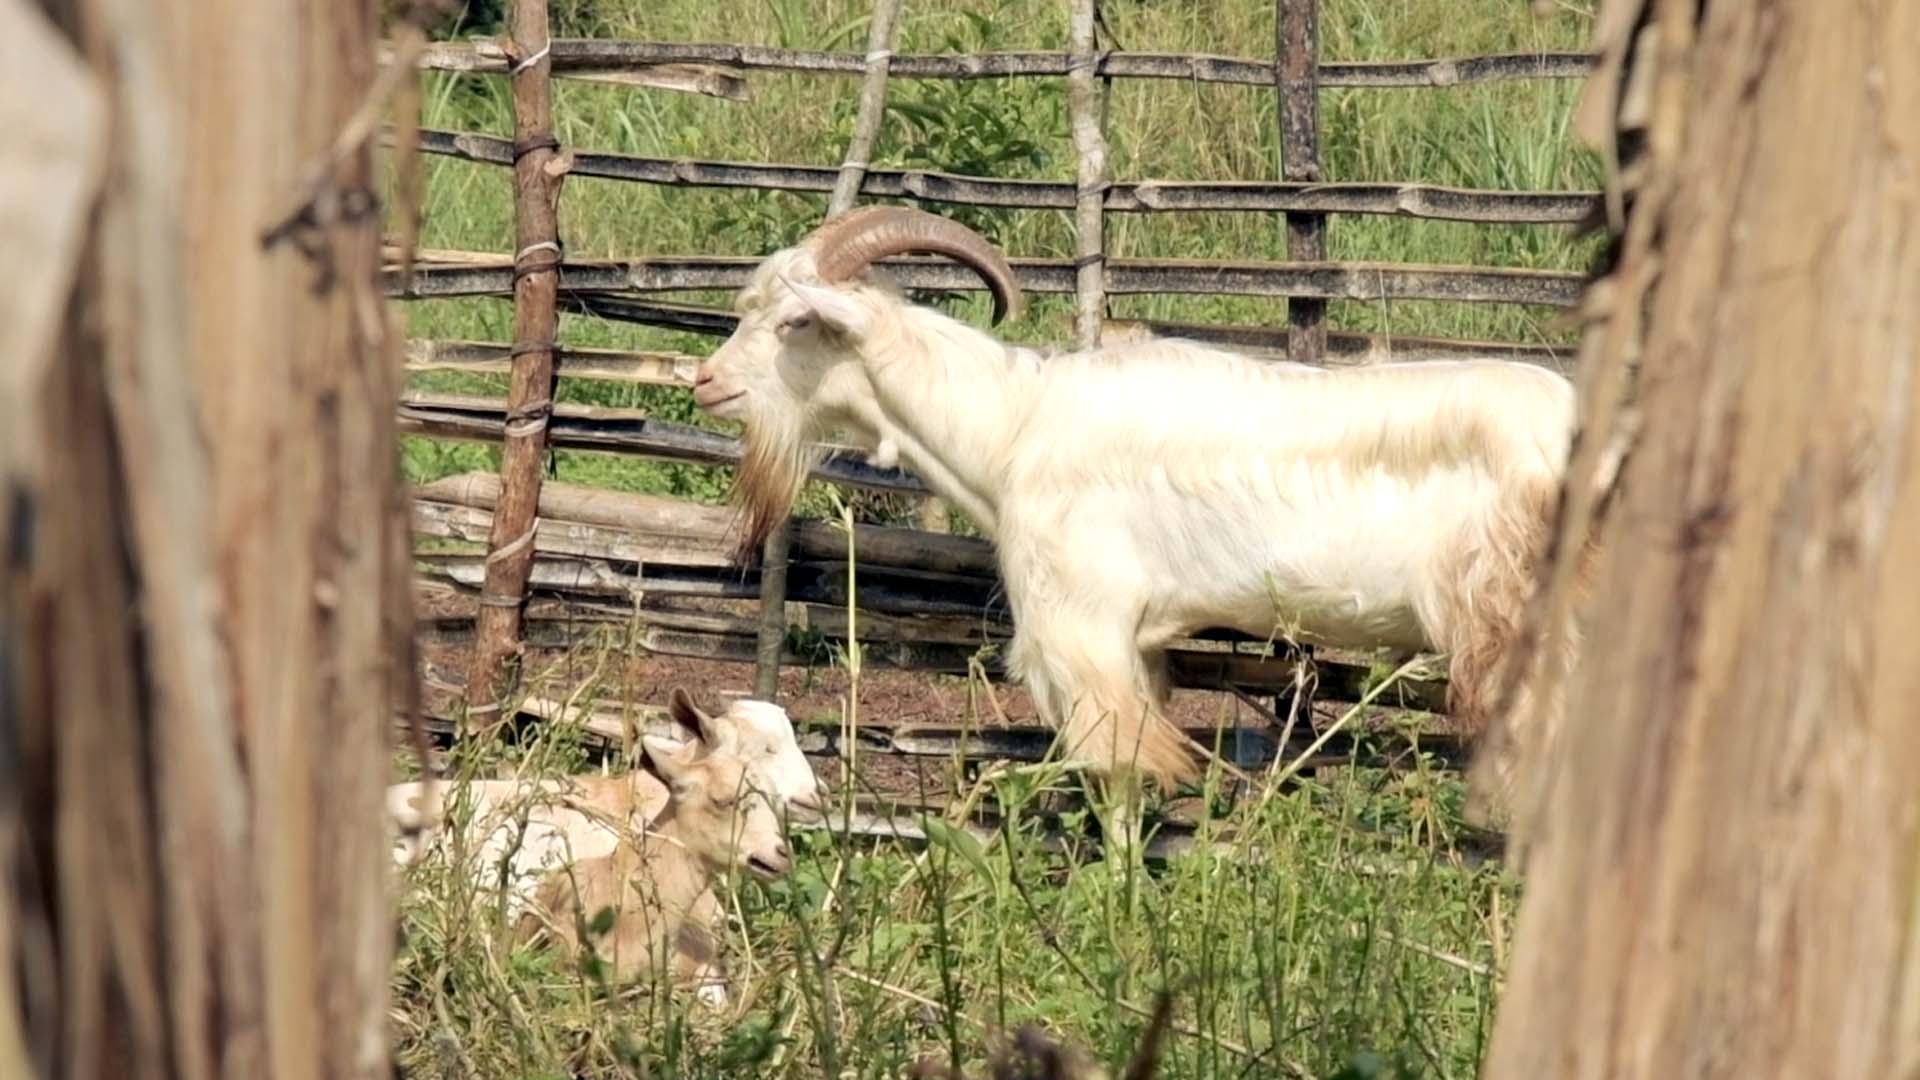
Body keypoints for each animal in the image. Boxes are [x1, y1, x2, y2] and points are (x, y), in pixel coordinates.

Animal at [691, 206, 1576, 842]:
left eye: (795, 323)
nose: (704, 380)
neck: (1013, 428)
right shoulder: (1142, 643)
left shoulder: (1086, 627)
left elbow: (1116, 779)